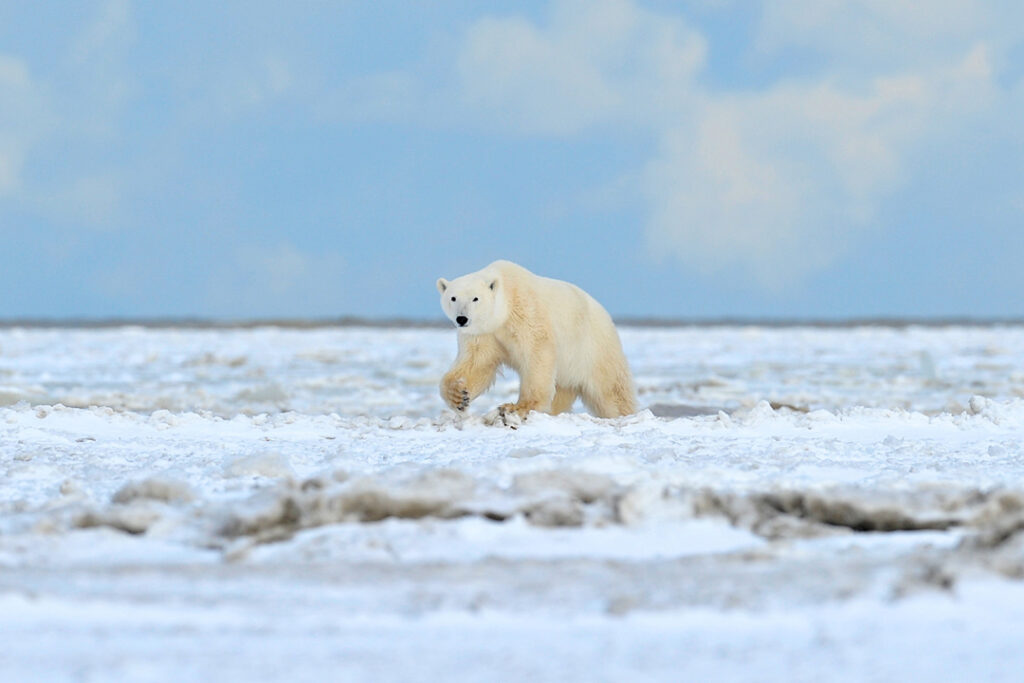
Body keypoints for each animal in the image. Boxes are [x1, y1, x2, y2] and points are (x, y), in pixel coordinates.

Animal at [436, 260, 636, 423]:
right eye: (453, 298)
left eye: (475, 298)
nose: (462, 319)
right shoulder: (484, 333)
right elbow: (477, 363)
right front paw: (458, 395)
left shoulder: (525, 312)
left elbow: (536, 353)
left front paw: (516, 408)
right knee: (562, 391)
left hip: (594, 349)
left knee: (611, 391)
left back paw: (624, 414)